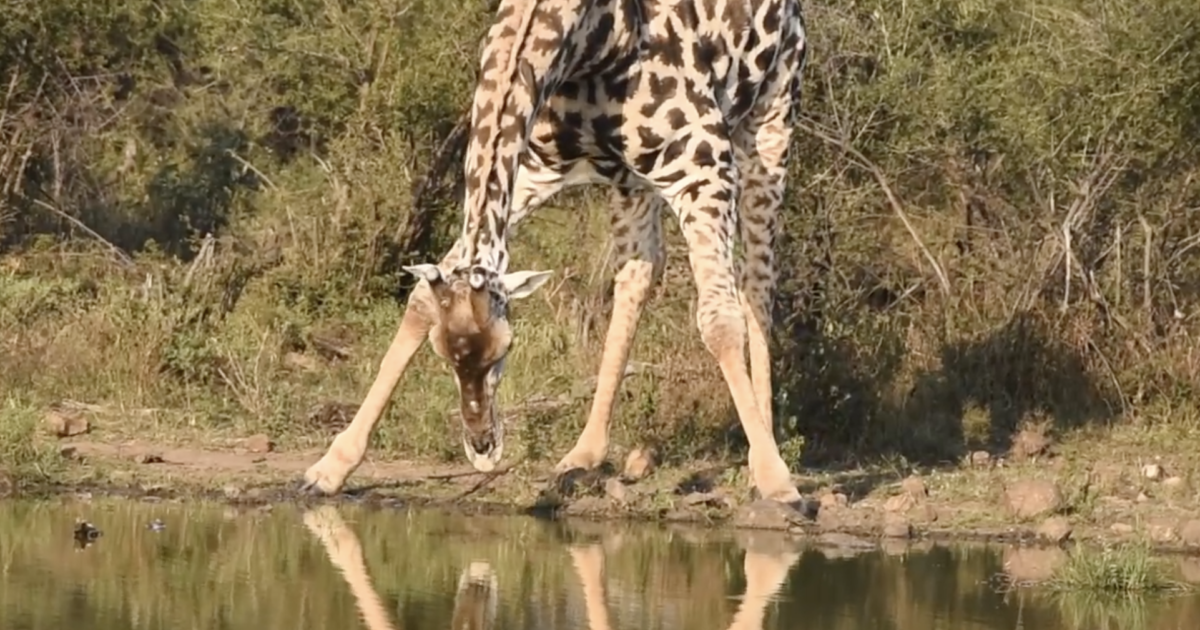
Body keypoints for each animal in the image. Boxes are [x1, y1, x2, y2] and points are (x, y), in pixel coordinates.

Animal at [301, 0, 809, 506]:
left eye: (506, 348)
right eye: (443, 354)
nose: (482, 444)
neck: (596, 39)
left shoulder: (702, 167)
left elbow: (720, 321)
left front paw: (776, 480)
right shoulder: (532, 168)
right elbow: (424, 296)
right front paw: (330, 467)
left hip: (770, 120)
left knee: (756, 282)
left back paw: (761, 456)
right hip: (631, 182)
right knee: (638, 273)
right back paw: (584, 453)